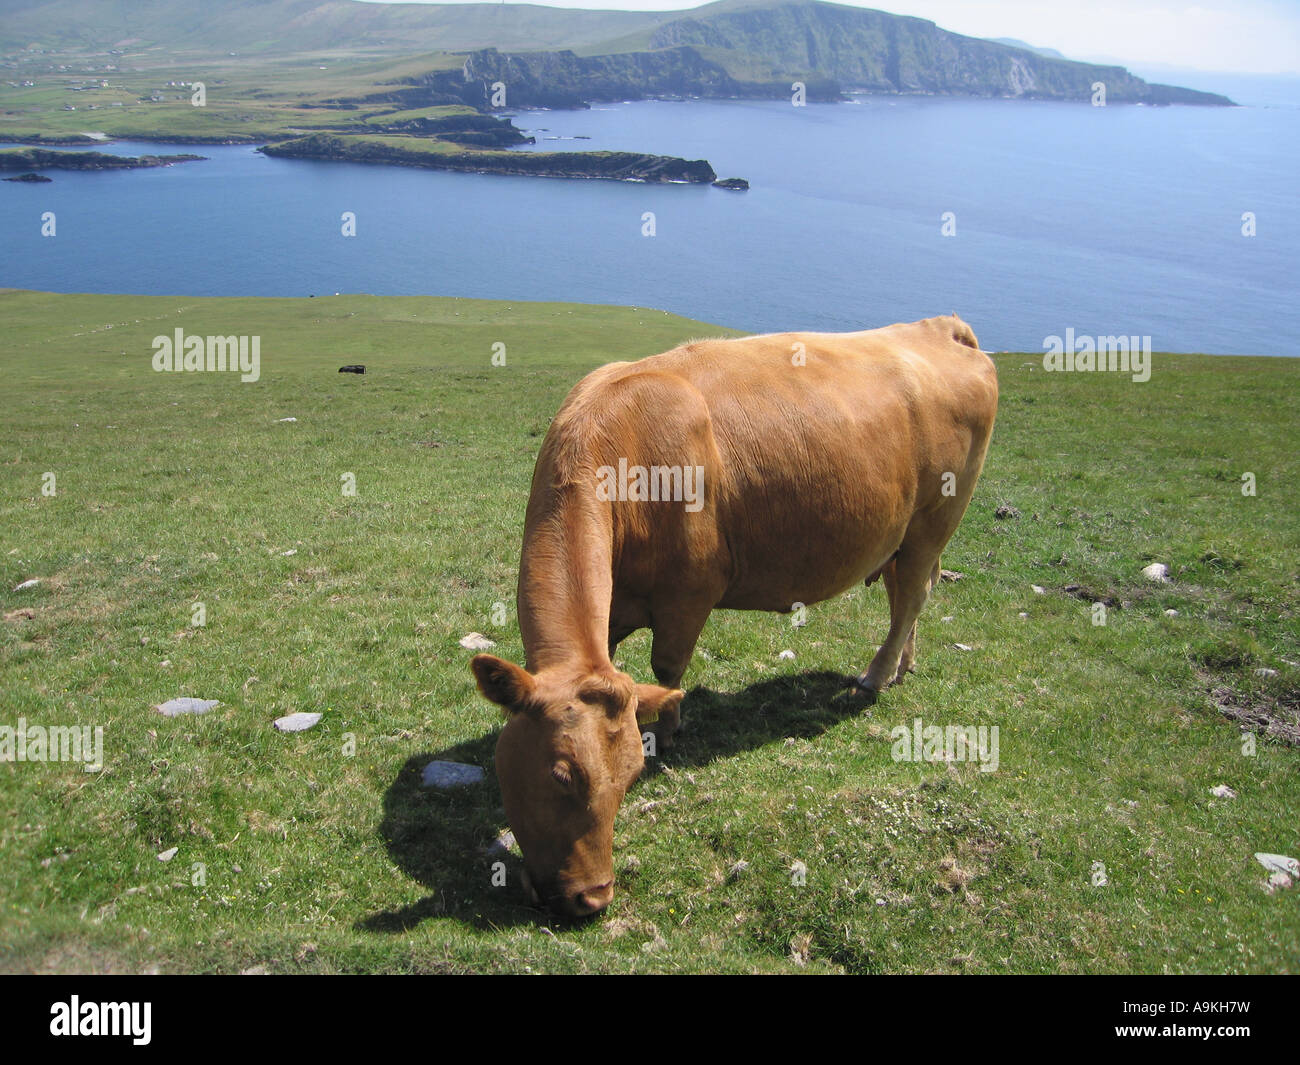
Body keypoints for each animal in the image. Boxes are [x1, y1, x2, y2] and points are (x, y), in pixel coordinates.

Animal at [471, 314, 998, 917]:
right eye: (561, 775)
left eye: (631, 777)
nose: (594, 895)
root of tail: (940, 328)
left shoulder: (689, 591)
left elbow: (668, 666)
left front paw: (669, 725)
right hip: (901, 537)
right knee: (907, 598)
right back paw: (902, 666)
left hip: (934, 522)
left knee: (909, 598)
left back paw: (875, 676)